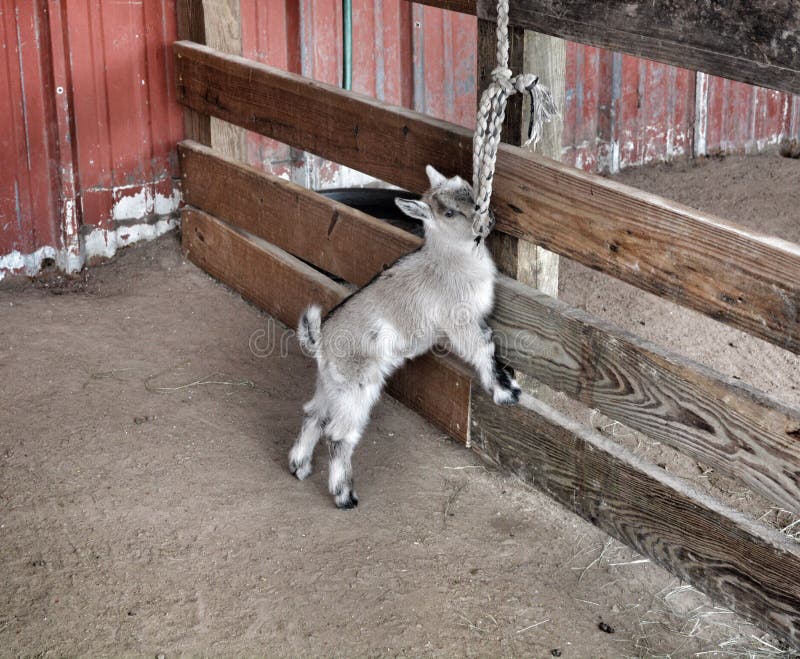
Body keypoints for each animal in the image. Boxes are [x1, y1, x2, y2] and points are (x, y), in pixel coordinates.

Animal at [288, 165, 521, 509]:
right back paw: (344, 495)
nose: (488, 218)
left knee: (313, 414)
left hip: (332, 385)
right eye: (449, 212)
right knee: (339, 436)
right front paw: (506, 392)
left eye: (470, 190)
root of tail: (321, 343)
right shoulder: (460, 320)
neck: (450, 260)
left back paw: (299, 465)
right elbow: (484, 349)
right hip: (357, 388)